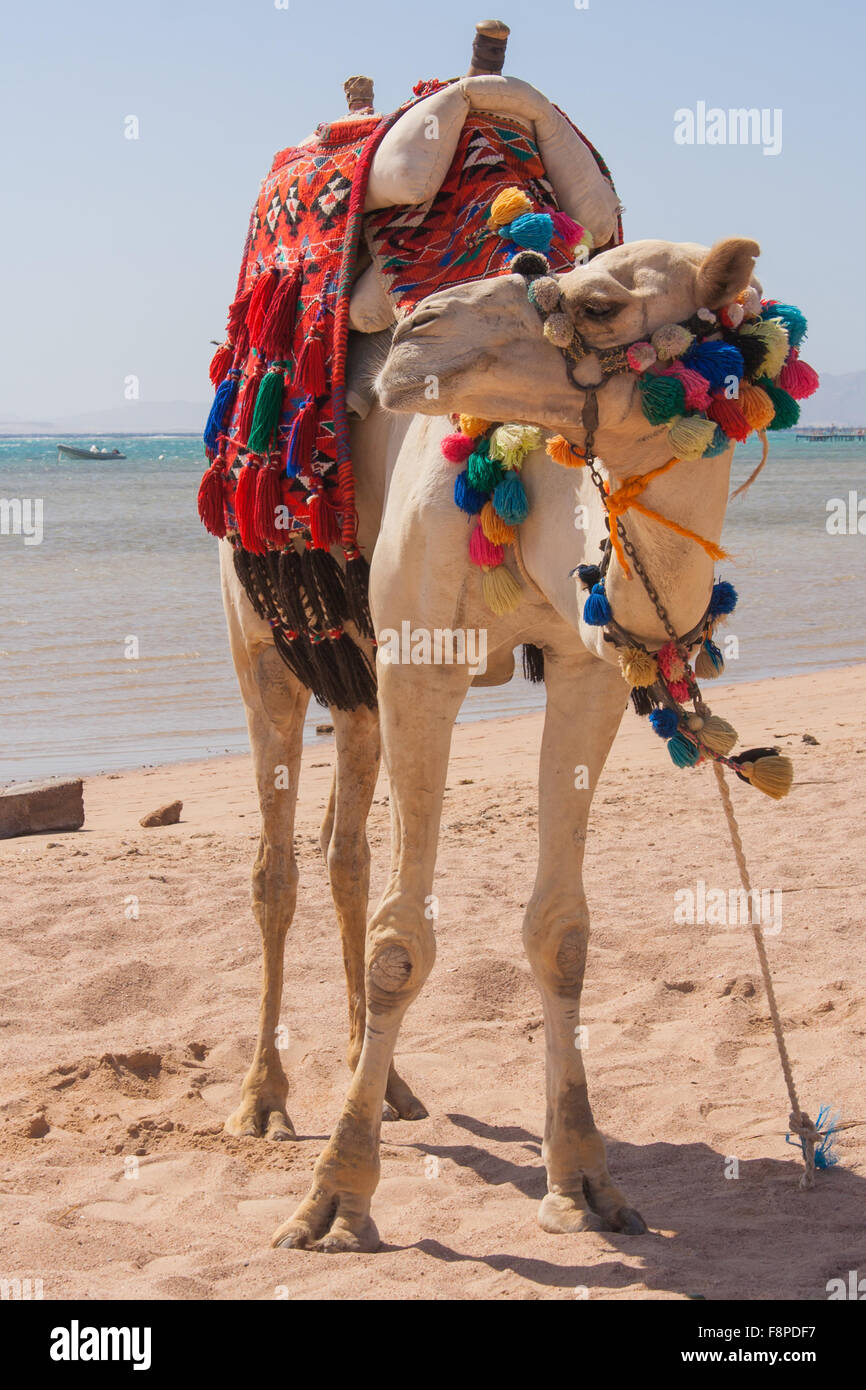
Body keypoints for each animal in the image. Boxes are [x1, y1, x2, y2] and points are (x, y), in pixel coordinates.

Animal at [219, 230, 762, 1248]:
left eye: (600, 304)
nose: (416, 333)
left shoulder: (588, 668)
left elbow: (563, 933)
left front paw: (583, 1182)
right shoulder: (422, 662)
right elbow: (402, 943)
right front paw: (335, 1197)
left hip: (356, 678)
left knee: (346, 852)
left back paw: (387, 1083)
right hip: (265, 640)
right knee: (277, 867)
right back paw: (263, 1102)